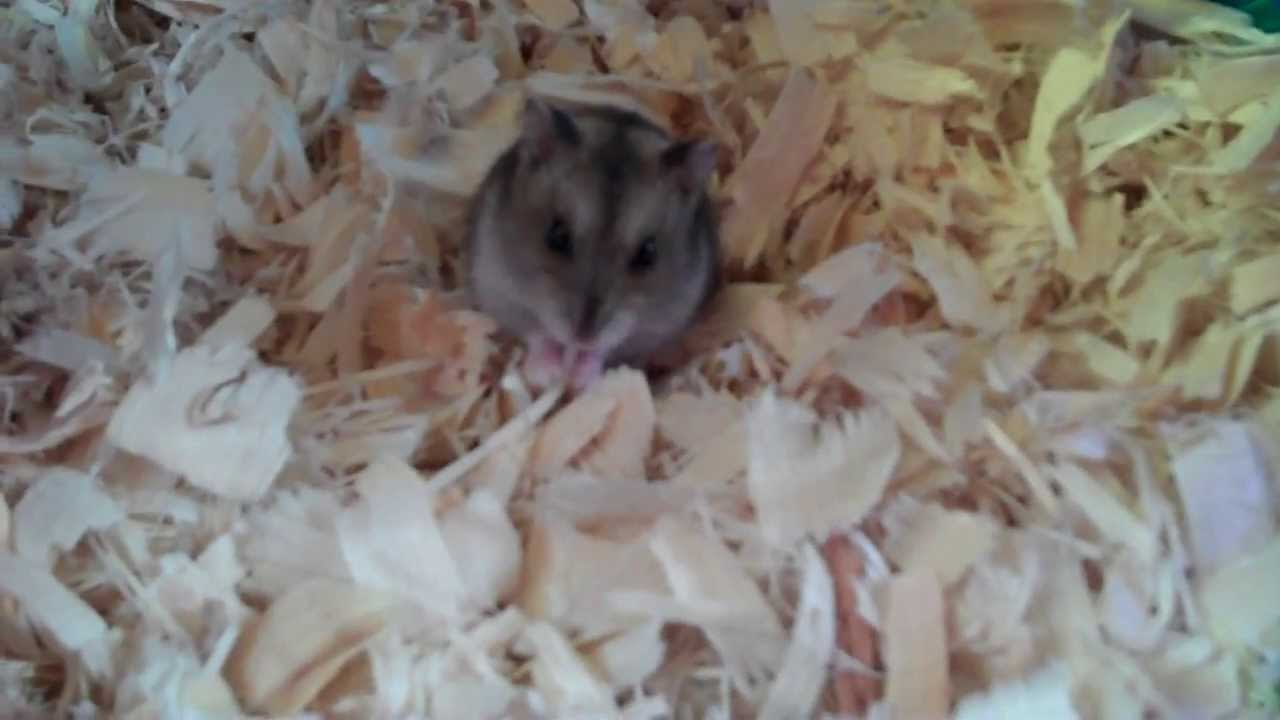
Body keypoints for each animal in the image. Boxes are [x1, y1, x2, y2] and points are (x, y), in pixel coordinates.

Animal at [463, 95, 721, 391]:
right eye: (557, 236)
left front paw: (581, 378)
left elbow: (605, 348)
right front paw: (547, 375)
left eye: (648, 253)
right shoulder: (498, 289)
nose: (582, 338)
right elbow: (537, 332)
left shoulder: (659, 325)